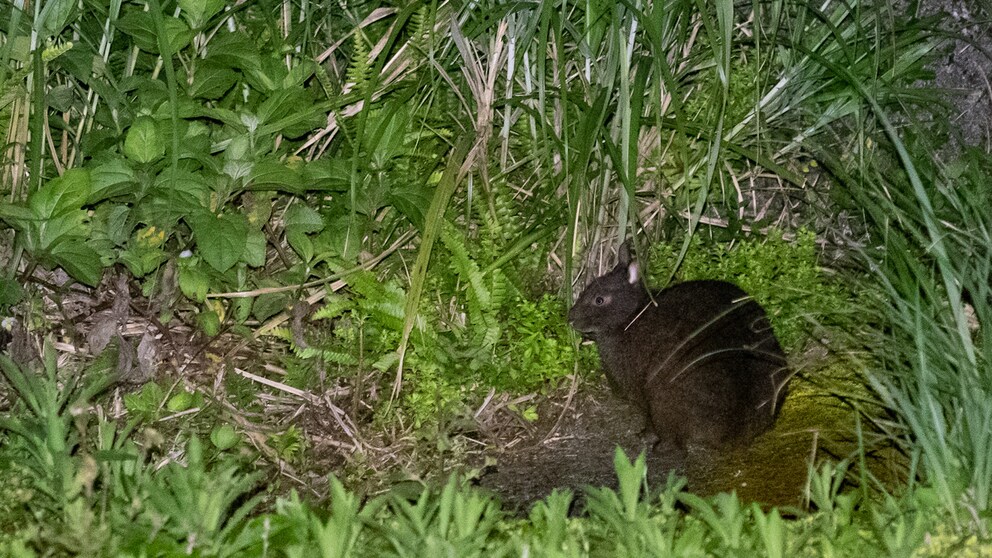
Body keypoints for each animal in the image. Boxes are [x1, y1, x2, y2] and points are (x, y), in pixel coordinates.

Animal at [568, 241, 789, 462]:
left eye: (599, 300)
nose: (570, 318)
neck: (631, 316)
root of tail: (734, 430)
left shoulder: (643, 396)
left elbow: (649, 420)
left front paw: (644, 435)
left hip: (663, 398)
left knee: (676, 442)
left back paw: (659, 447)